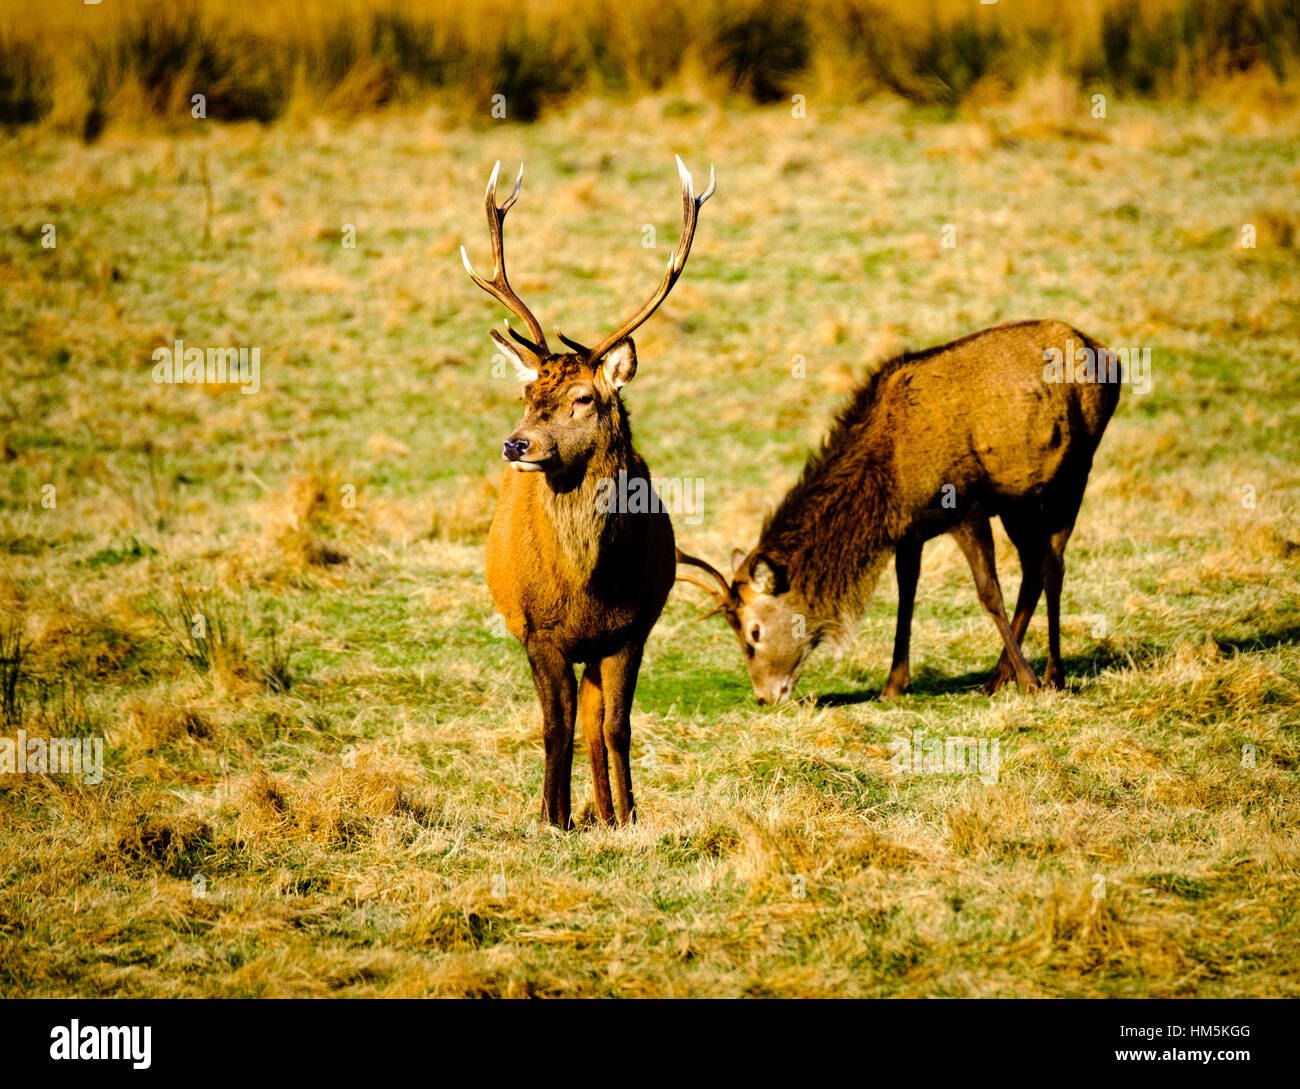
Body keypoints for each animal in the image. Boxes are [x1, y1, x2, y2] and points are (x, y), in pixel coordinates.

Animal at [462, 157, 715, 827]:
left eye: (583, 398)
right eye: (528, 393)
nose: (516, 445)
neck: (586, 586)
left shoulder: (632, 628)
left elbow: (616, 727)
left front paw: (628, 817)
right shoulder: (538, 631)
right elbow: (556, 727)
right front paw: (552, 818)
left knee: (597, 722)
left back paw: (604, 812)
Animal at [677, 320, 1121, 705]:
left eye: (754, 632)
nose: (765, 696)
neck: (889, 482)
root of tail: (1107, 354)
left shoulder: (966, 505)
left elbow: (988, 593)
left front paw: (1029, 683)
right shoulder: (910, 529)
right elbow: (906, 593)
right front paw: (893, 684)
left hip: (1075, 469)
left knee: (1053, 565)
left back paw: (1050, 675)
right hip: (1019, 494)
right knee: (1033, 566)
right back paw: (997, 677)